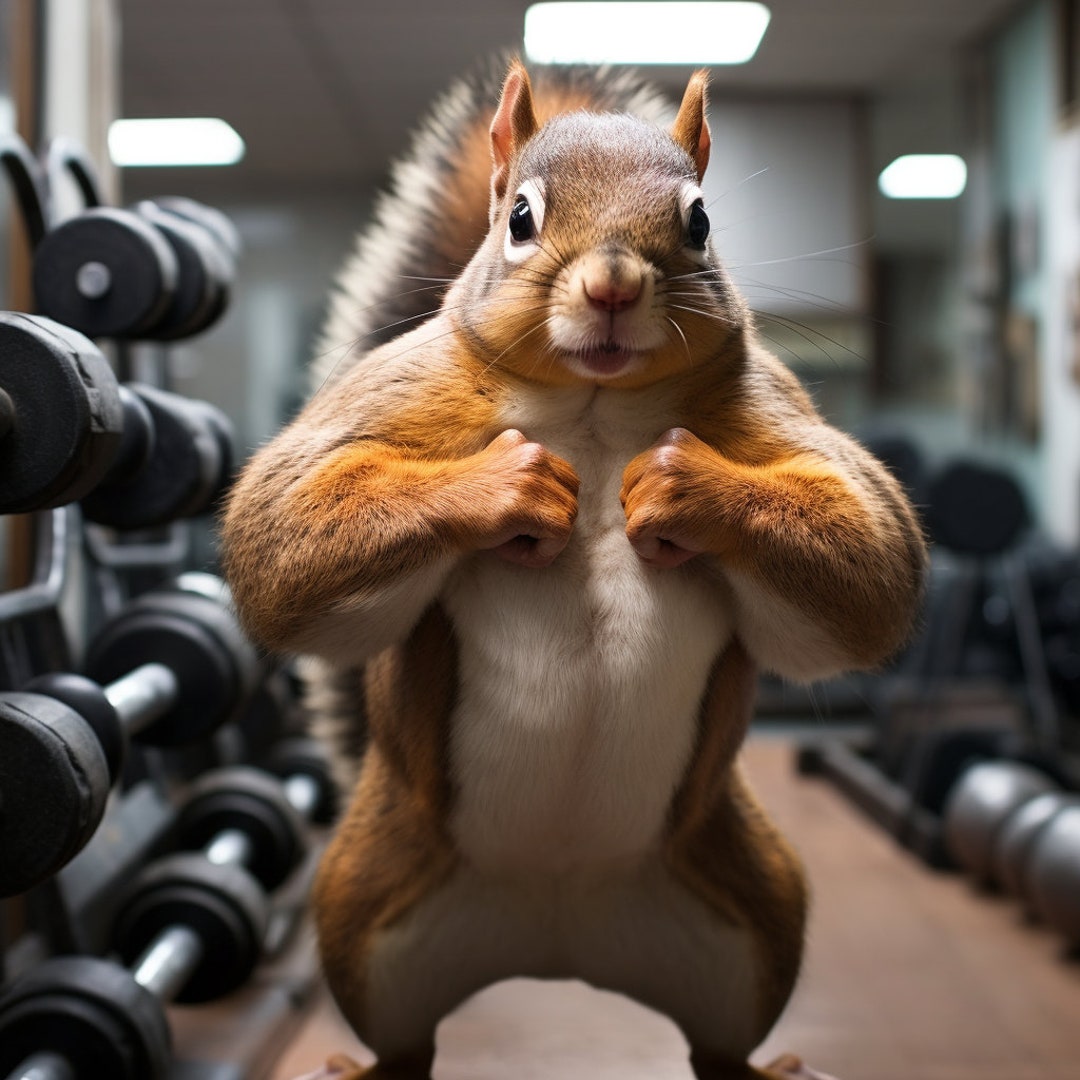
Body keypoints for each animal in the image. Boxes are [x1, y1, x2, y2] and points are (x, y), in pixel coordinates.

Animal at [221, 58, 927, 1080]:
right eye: (519, 217)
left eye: (699, 221)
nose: (612, 285)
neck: (593, 405)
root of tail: (556, 940)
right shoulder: (392, 395)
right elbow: (279, 530)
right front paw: (508, 488)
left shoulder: (784, 418)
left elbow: (874, 558)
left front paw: (681, 487)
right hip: (359, 901)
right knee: (406, 1047)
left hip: (759, 909)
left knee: (720, 1046)